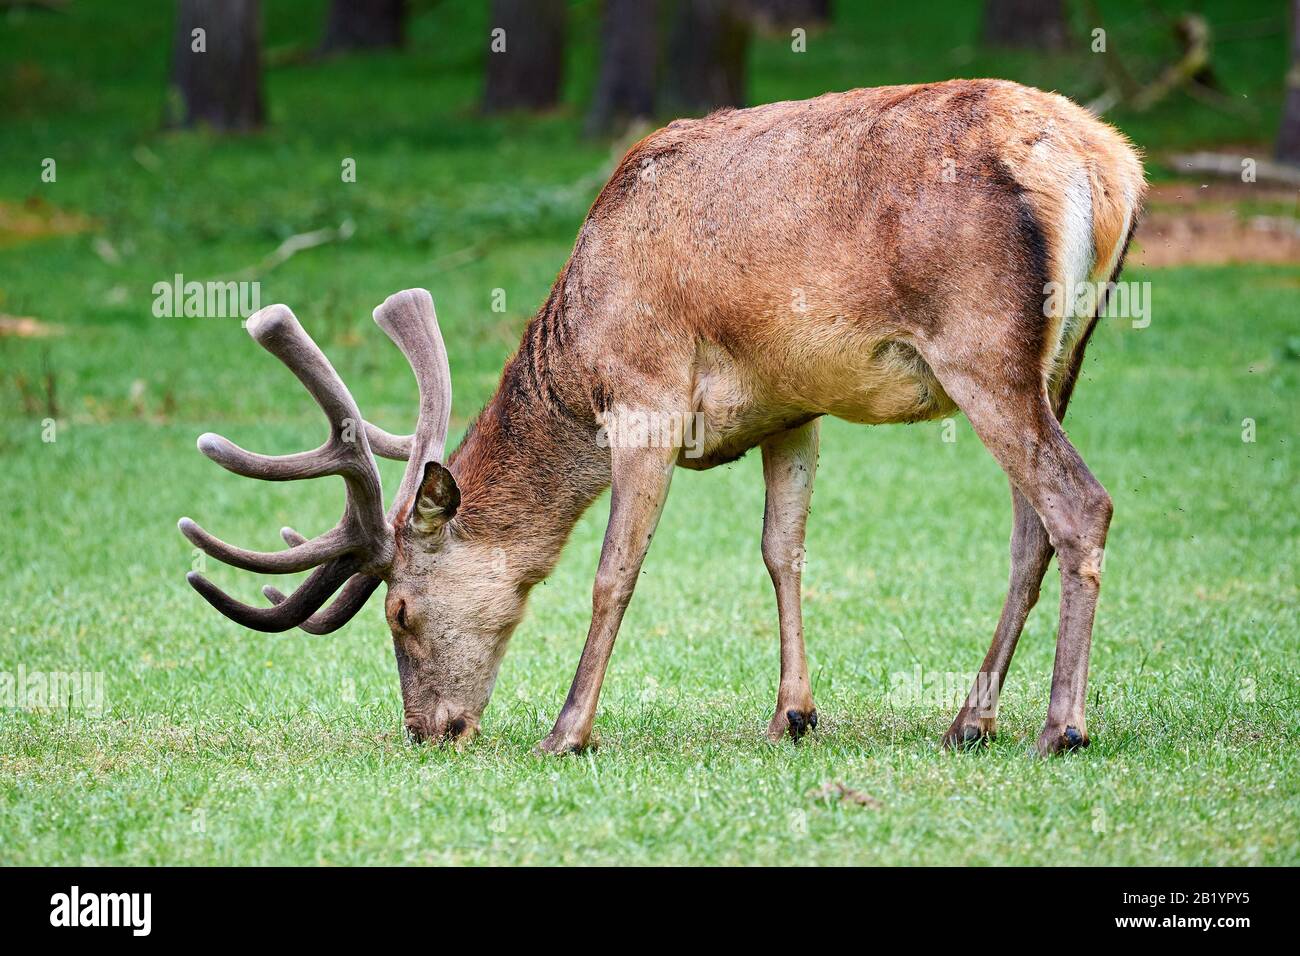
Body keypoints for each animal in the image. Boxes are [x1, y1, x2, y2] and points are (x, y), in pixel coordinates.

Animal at [179, 79, 1145, 757]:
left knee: (1079, 504)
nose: (426, 731)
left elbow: (613, 573)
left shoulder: (646, 398)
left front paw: (568, 730)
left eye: (401, 613)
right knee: (1030, 531)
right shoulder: (790, 408)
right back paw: (969, 719)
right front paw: (792, 714)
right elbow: (782, 552)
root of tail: (1109, 164)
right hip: (1062, 355)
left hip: (980, 344)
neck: (580, 351)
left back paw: (1060, 725)